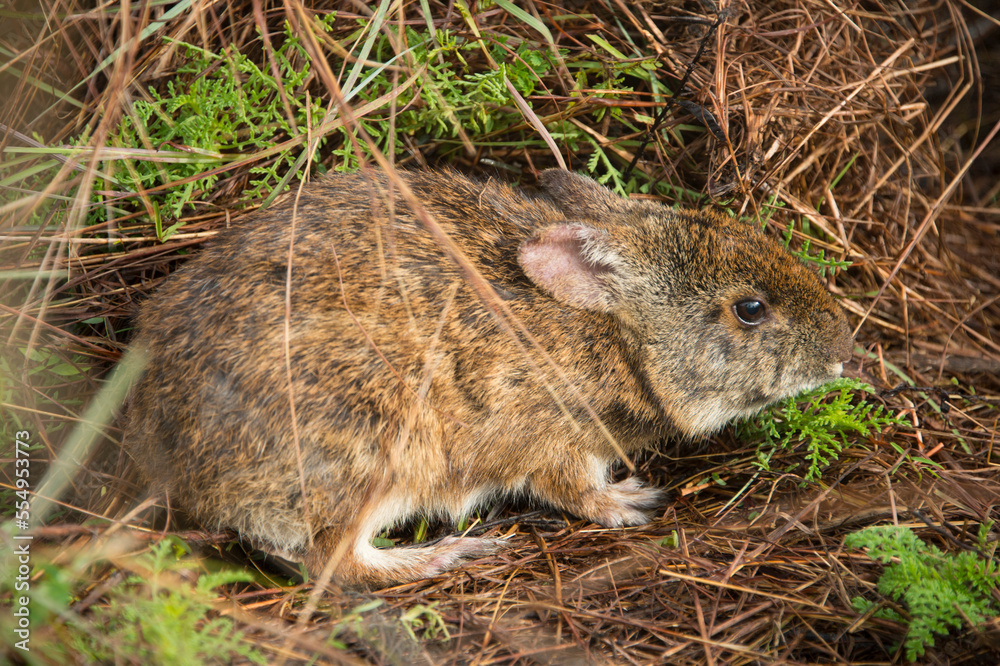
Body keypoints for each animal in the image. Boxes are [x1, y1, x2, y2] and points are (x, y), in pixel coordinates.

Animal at [122, 168, 854, 587]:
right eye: (751, 309)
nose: (844, 349)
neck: (615, 336)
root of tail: (179, 463)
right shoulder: (556, 439)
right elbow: (572, 488)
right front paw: (628, 503)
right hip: (375, 450)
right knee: (337, 559)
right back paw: (447, 554)